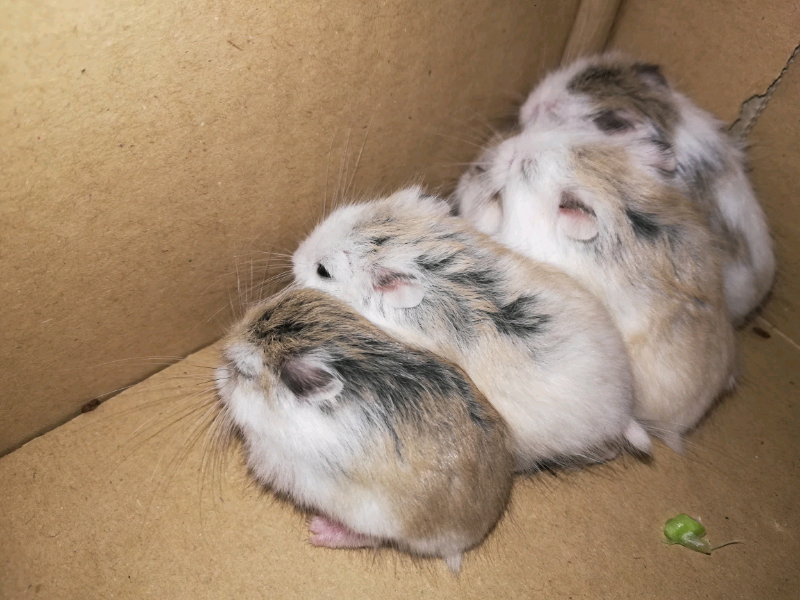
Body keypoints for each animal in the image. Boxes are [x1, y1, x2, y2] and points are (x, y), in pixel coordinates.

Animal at [215, 286, 514, 572]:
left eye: (244, 371)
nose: (216, 374)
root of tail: (475, 533)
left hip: (374, 517)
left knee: (373, 539)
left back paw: (319, 530)